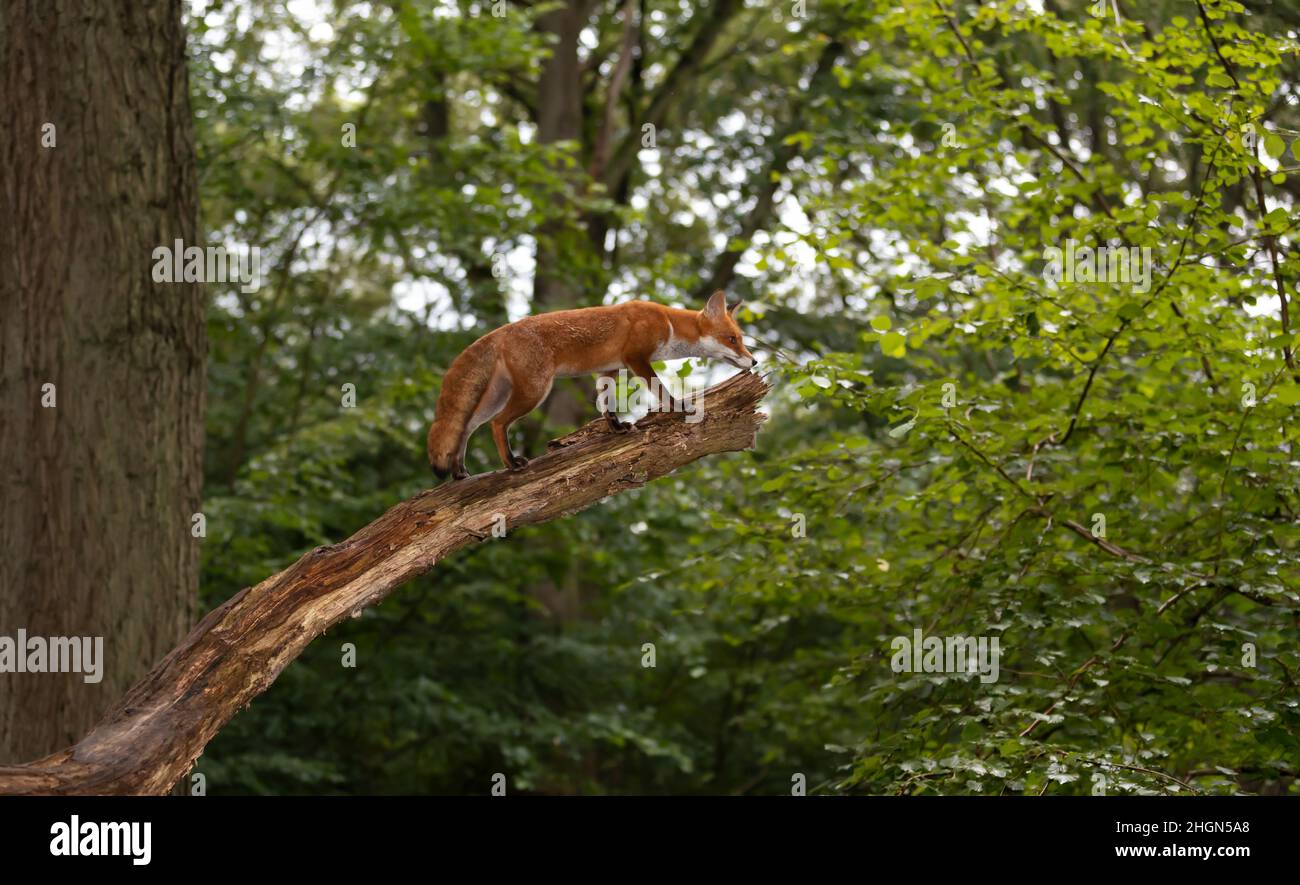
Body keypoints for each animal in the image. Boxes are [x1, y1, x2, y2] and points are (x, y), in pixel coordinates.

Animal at [427, 290, 757, 480]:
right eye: (733, 339)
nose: (754, 361)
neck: (668, 322)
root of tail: (502, 330)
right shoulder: (636, 358)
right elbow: (660, 390)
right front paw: (680, 407)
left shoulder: (609, 369)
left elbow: (607, 405)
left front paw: (616, 429)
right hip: (534, 391)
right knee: (496, 424)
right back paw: (510, 463)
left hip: (499, 394)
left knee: (466, 425)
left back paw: (459, 471)